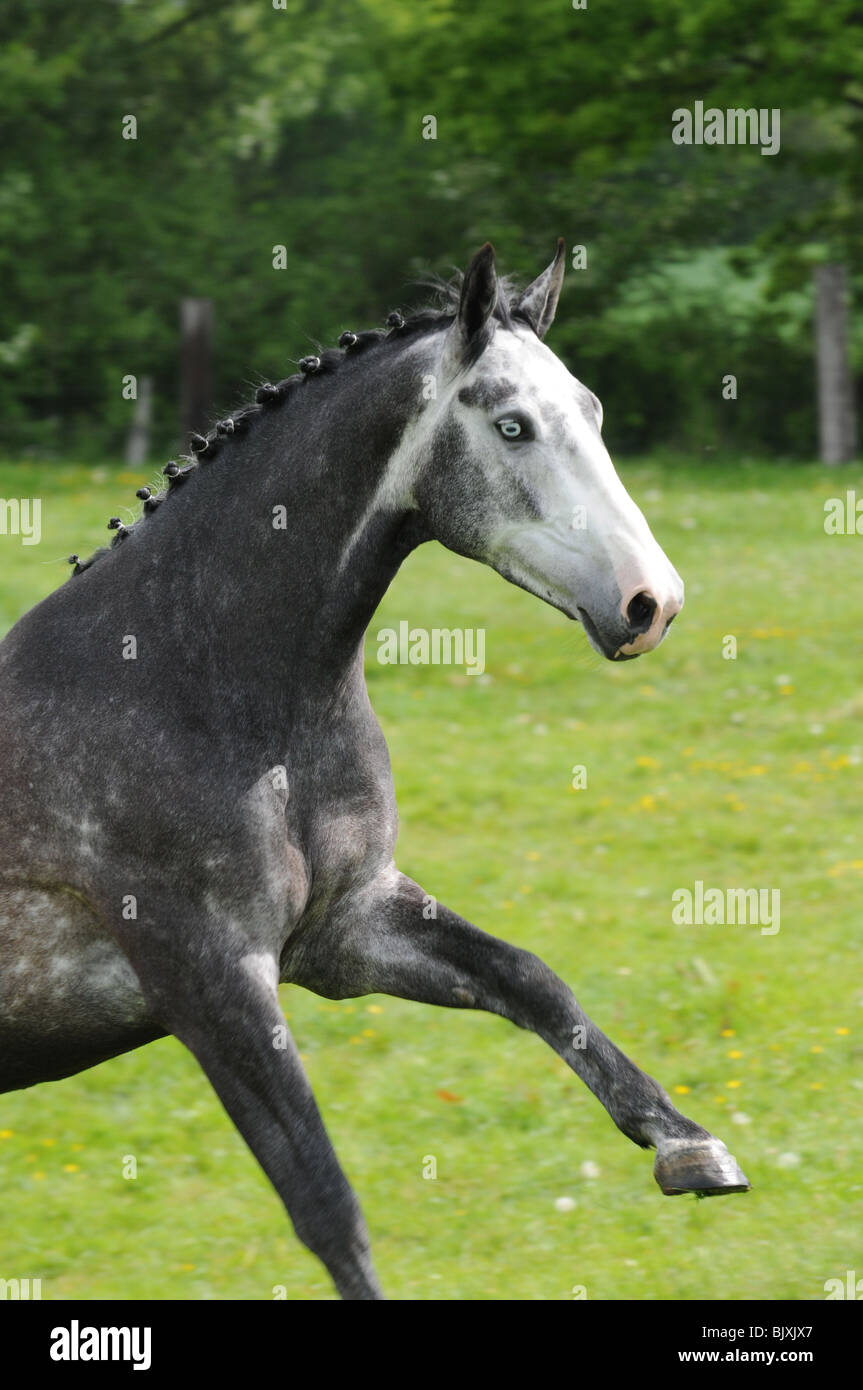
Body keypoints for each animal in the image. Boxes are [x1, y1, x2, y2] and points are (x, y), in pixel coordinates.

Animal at [0, 241, 749, 1300]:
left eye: (593, 412)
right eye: (511, 425)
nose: (653, 604)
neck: (192, 681)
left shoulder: (345, 930)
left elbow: (533, 984)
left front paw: (690, 1150)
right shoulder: (212, 978)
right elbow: (324, 1200)